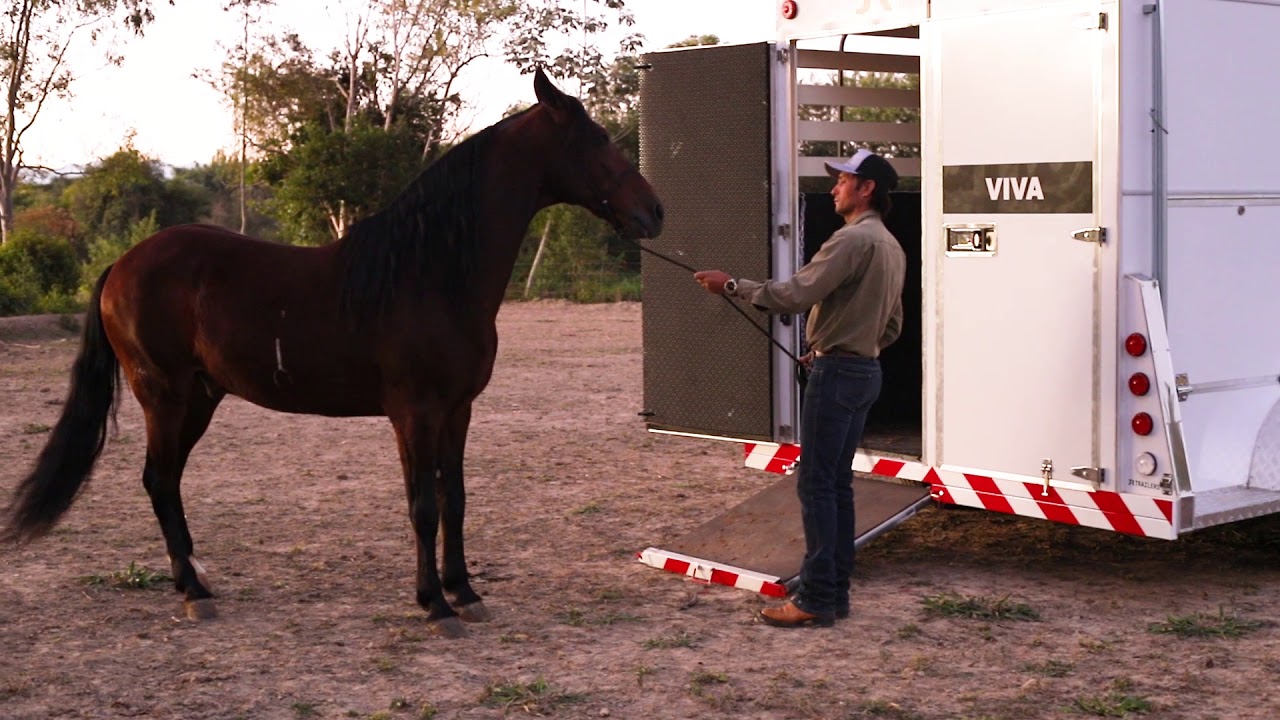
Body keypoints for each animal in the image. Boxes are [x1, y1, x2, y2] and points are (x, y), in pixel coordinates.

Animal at [1, 68, 664, 638]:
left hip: (200, 399)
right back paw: (194, 593)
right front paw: (435, 604)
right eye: (596, 140)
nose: (653, 211)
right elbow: (423, 506)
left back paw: (195, 584)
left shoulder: (457, 411)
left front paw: (466, 592)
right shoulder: (414, 414)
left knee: (166, 481)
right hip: (164, 396)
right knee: (160, 481)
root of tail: (122, 265)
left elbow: (455, 499)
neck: (429, 272)